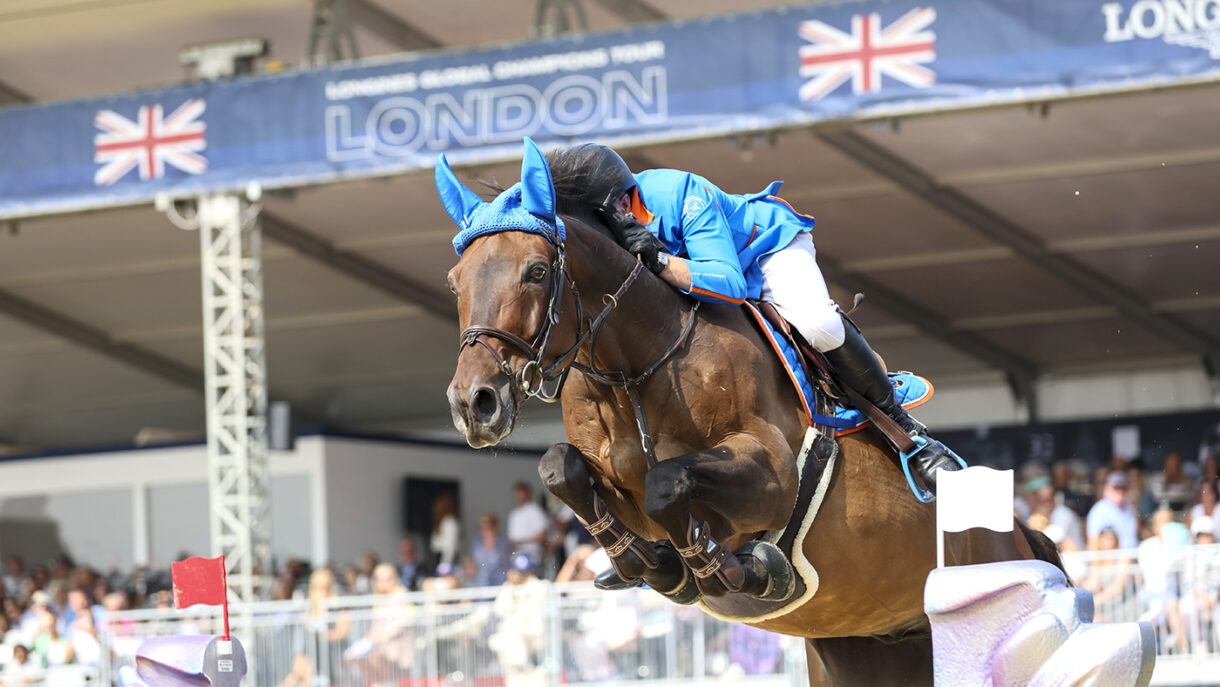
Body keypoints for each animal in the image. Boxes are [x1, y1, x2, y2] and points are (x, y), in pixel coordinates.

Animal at [439, 139, 1061, 686]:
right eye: (455, 281)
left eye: (537, 271)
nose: (474, 404)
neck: (633, 367)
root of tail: (1023, 536)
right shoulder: (609, 479)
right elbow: (560, 468)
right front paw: (656, 566)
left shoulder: (773, 474)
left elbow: (669, 483)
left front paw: (734, 570)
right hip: (871, 647)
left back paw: (932, 461)